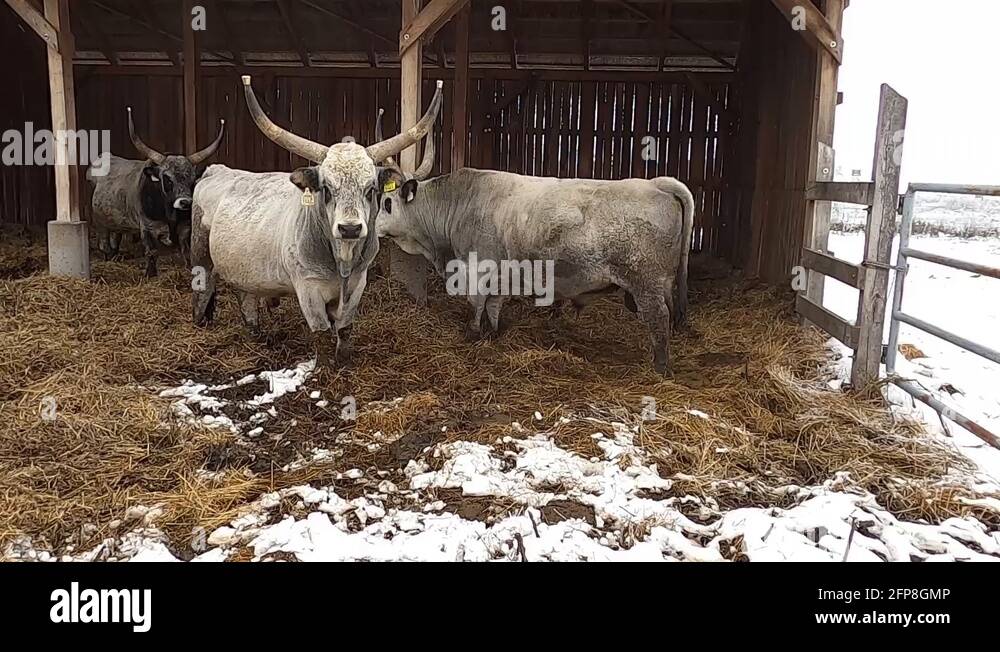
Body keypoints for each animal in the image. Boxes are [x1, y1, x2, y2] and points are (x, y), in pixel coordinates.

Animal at [87, 107, 225, 277]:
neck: (170, 214)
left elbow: (186, 252)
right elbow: (151, 252)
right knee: (104, 244)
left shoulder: (185, 227)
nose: (185, 202)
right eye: (166, 177)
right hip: (100, 224)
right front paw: (150, 274)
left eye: (193, 178)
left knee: (115, 239)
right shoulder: (148, 227)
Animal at [190, 76, 444, 368]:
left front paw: (344, 362)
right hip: (200, 256)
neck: (341, 262)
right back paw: (200, 324)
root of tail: (215, 170)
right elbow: (321, 332)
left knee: (246, 297)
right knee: (202, 292)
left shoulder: (358, 284)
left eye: (370, 189)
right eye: (327, 189)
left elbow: (344, 329)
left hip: (244, 269)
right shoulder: (308, 289)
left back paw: (256, 334)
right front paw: (323, 368)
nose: (350, 228)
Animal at [374, 153, 694, 376]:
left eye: (386, 203)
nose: (369, 228)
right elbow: (494, 304)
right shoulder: (501, 273)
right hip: (662, 283)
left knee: (658, 319)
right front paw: (493, 333)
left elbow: (476, 303)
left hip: (645, 284)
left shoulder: (477, 268)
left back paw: (660, 368)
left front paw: (472, 334)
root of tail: (655, 183)